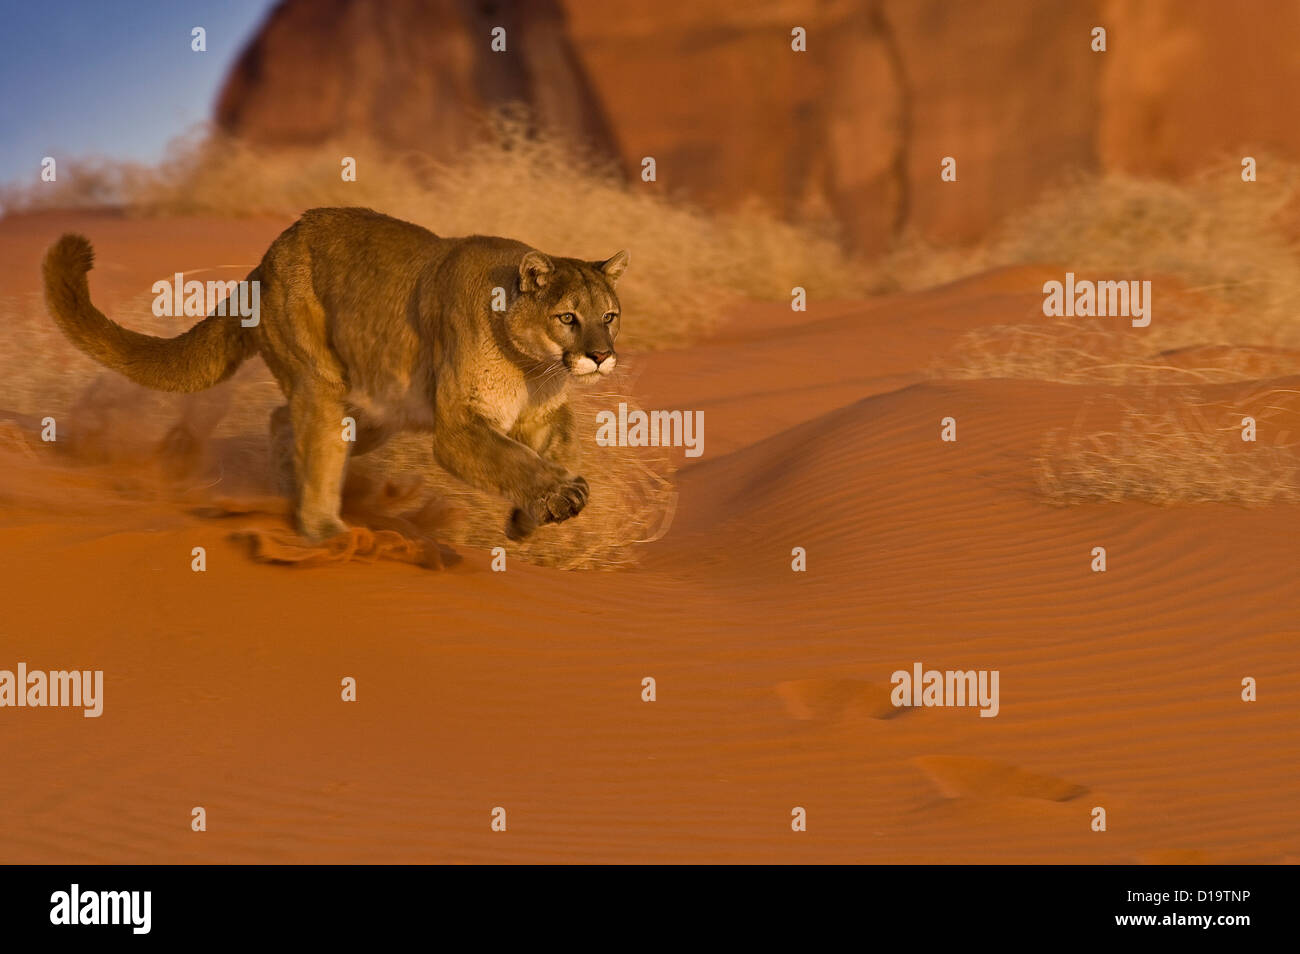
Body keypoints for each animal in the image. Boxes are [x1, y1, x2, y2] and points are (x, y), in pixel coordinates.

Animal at [42, 207, 629, 542]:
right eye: (568, 318)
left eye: (609, 316)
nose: (601, 356)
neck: (533, 367)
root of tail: (267, 256)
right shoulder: (461, 428)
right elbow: (514, 459)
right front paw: (559, 494)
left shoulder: (543, 413)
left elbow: (559, 445)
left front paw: (532, 516)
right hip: (323, 380)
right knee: (315, 441)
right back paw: (323, 529)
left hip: (374, 411)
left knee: (283, 422)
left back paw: (286, 492)